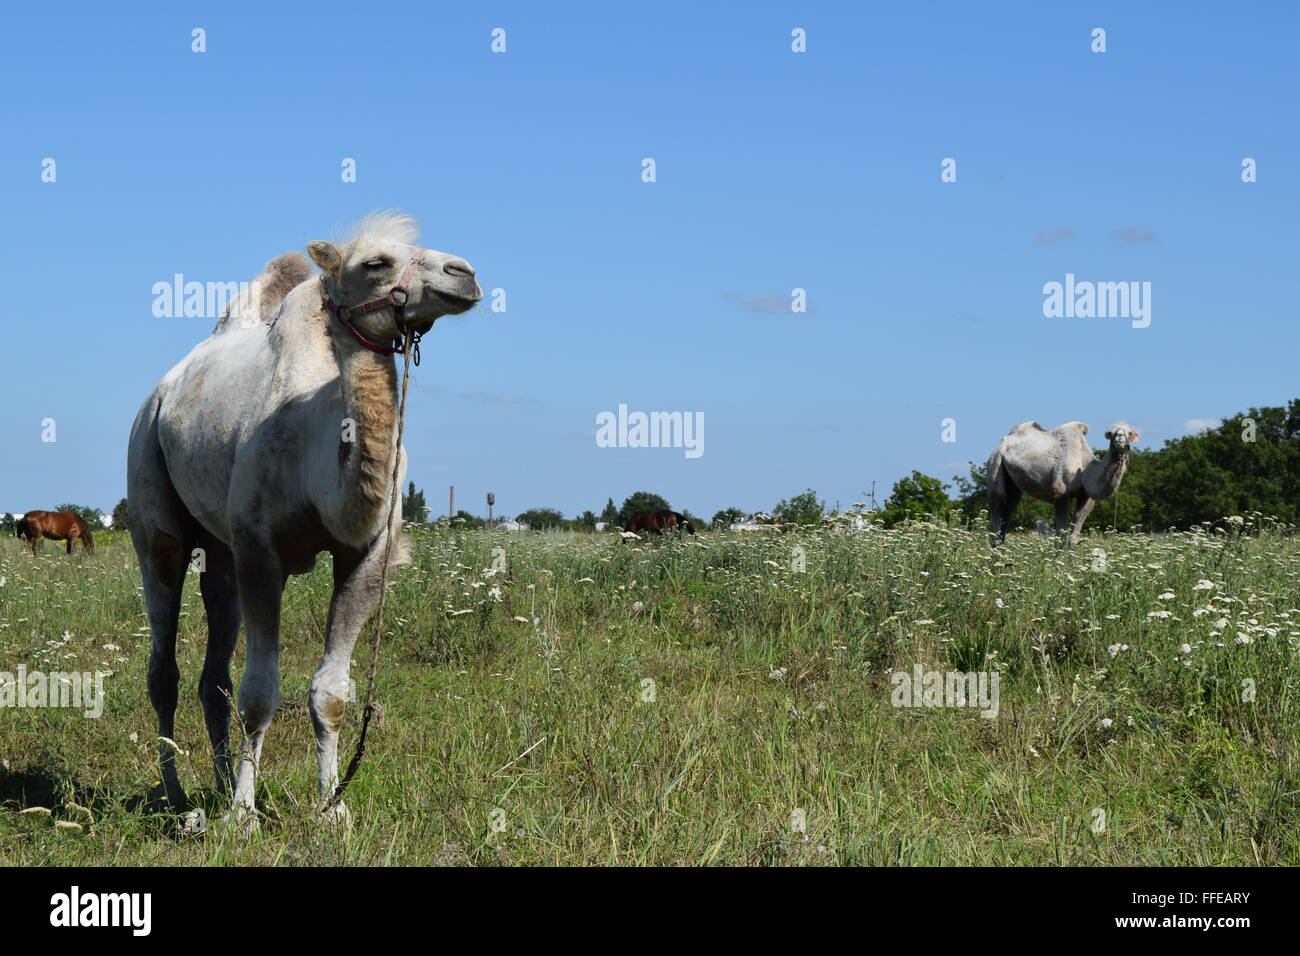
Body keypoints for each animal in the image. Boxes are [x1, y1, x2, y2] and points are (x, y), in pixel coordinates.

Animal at [127, 211, 481, 822]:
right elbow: (261, 691)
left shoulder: (367, 555)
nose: (465, 274)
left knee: (213, 674)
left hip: (220, 551)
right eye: (376, 263)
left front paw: (331, 806)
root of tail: (165, 389)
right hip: (152, 496)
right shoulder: (260, 550)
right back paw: (178, 797)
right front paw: (244, 816)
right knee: (164, 666)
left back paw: (220, 782)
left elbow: (330, 692)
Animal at [986, 420, 1139, 547]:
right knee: (997, 507)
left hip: (1014, 485)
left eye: (1130, 433)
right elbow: (1059, 536)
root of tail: (1002, 442)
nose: (1119, 438)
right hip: (996, 462)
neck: (1084, 470)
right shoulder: (1061, 493)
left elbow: (1073, 537)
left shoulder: (1086, 498)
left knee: (1009, 511)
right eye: (1111, 433)